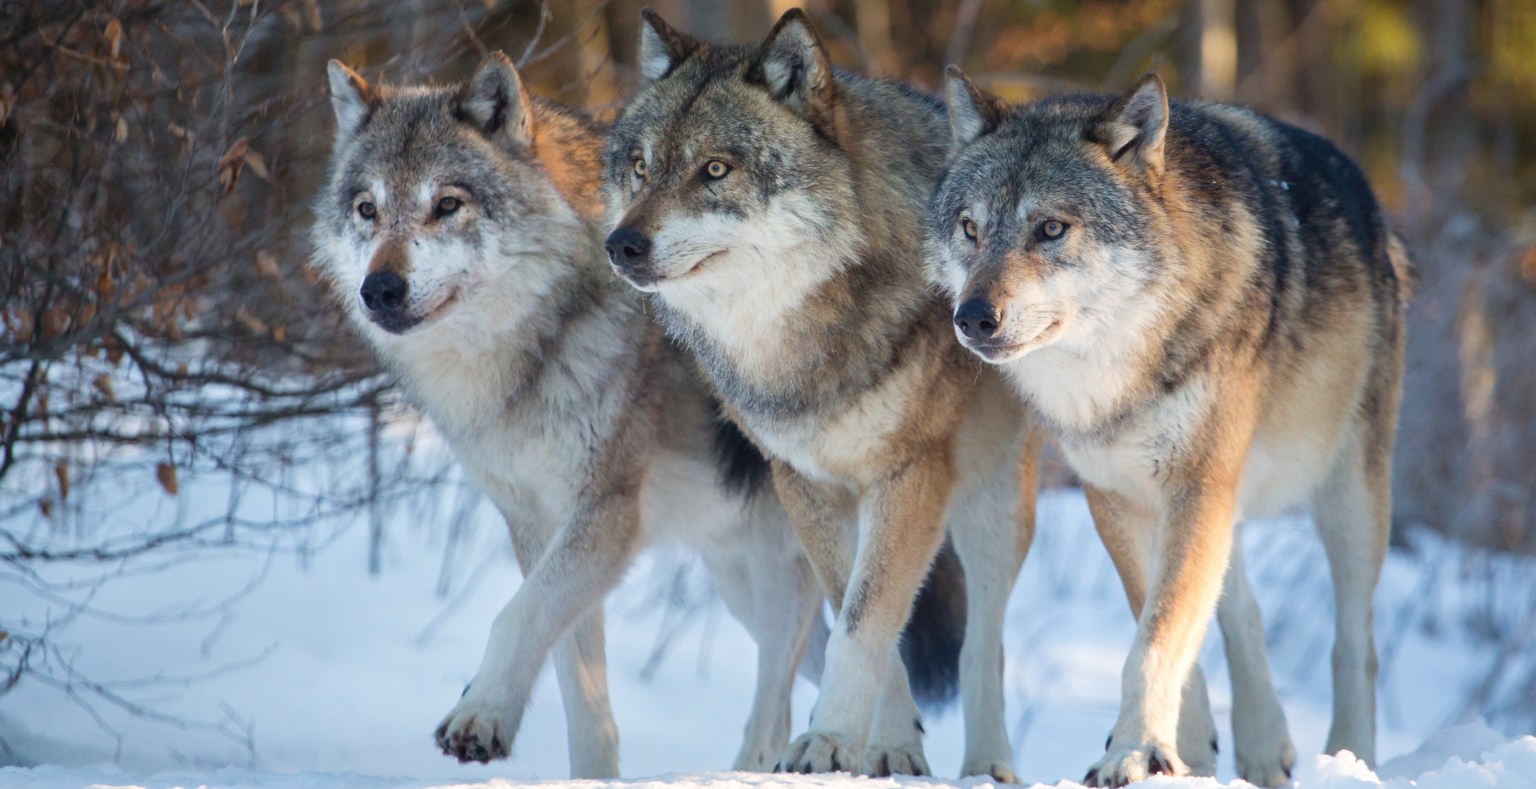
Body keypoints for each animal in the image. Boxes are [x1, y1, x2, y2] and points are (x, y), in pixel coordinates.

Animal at [311, 51, 841, 777]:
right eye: (368, 209)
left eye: (446, 204)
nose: (380, 289)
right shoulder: (538, 525)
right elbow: (577, 685)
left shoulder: (606, 514)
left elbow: (514, 616)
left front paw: (480, 713)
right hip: (744, 582)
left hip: (788, 566)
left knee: (784, 703)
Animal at [602, 10, 1041, 781]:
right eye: (641, 168)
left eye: (715, 169)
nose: (621, 245)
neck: (800, 339)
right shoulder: (803, 481)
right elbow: (860, 613)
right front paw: (881, 746)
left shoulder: (910, 474)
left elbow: (867, 619)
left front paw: (828, 738)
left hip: (990, 504)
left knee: (984, 643)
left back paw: (989, 766)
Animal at [931, 69, 1414, 786]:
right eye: (970, 227)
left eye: (1051, 228)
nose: (971, 317)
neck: (1118, 368)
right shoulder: (1118, 495)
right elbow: (1156, 620)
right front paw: (1178, 744)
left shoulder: (1195, 484)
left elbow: (1156, 637)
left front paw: (1134, 751)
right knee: (1242, 608)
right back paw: (1262, 743)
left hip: (1347, 498)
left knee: (1356, 643)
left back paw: (1349, 758)